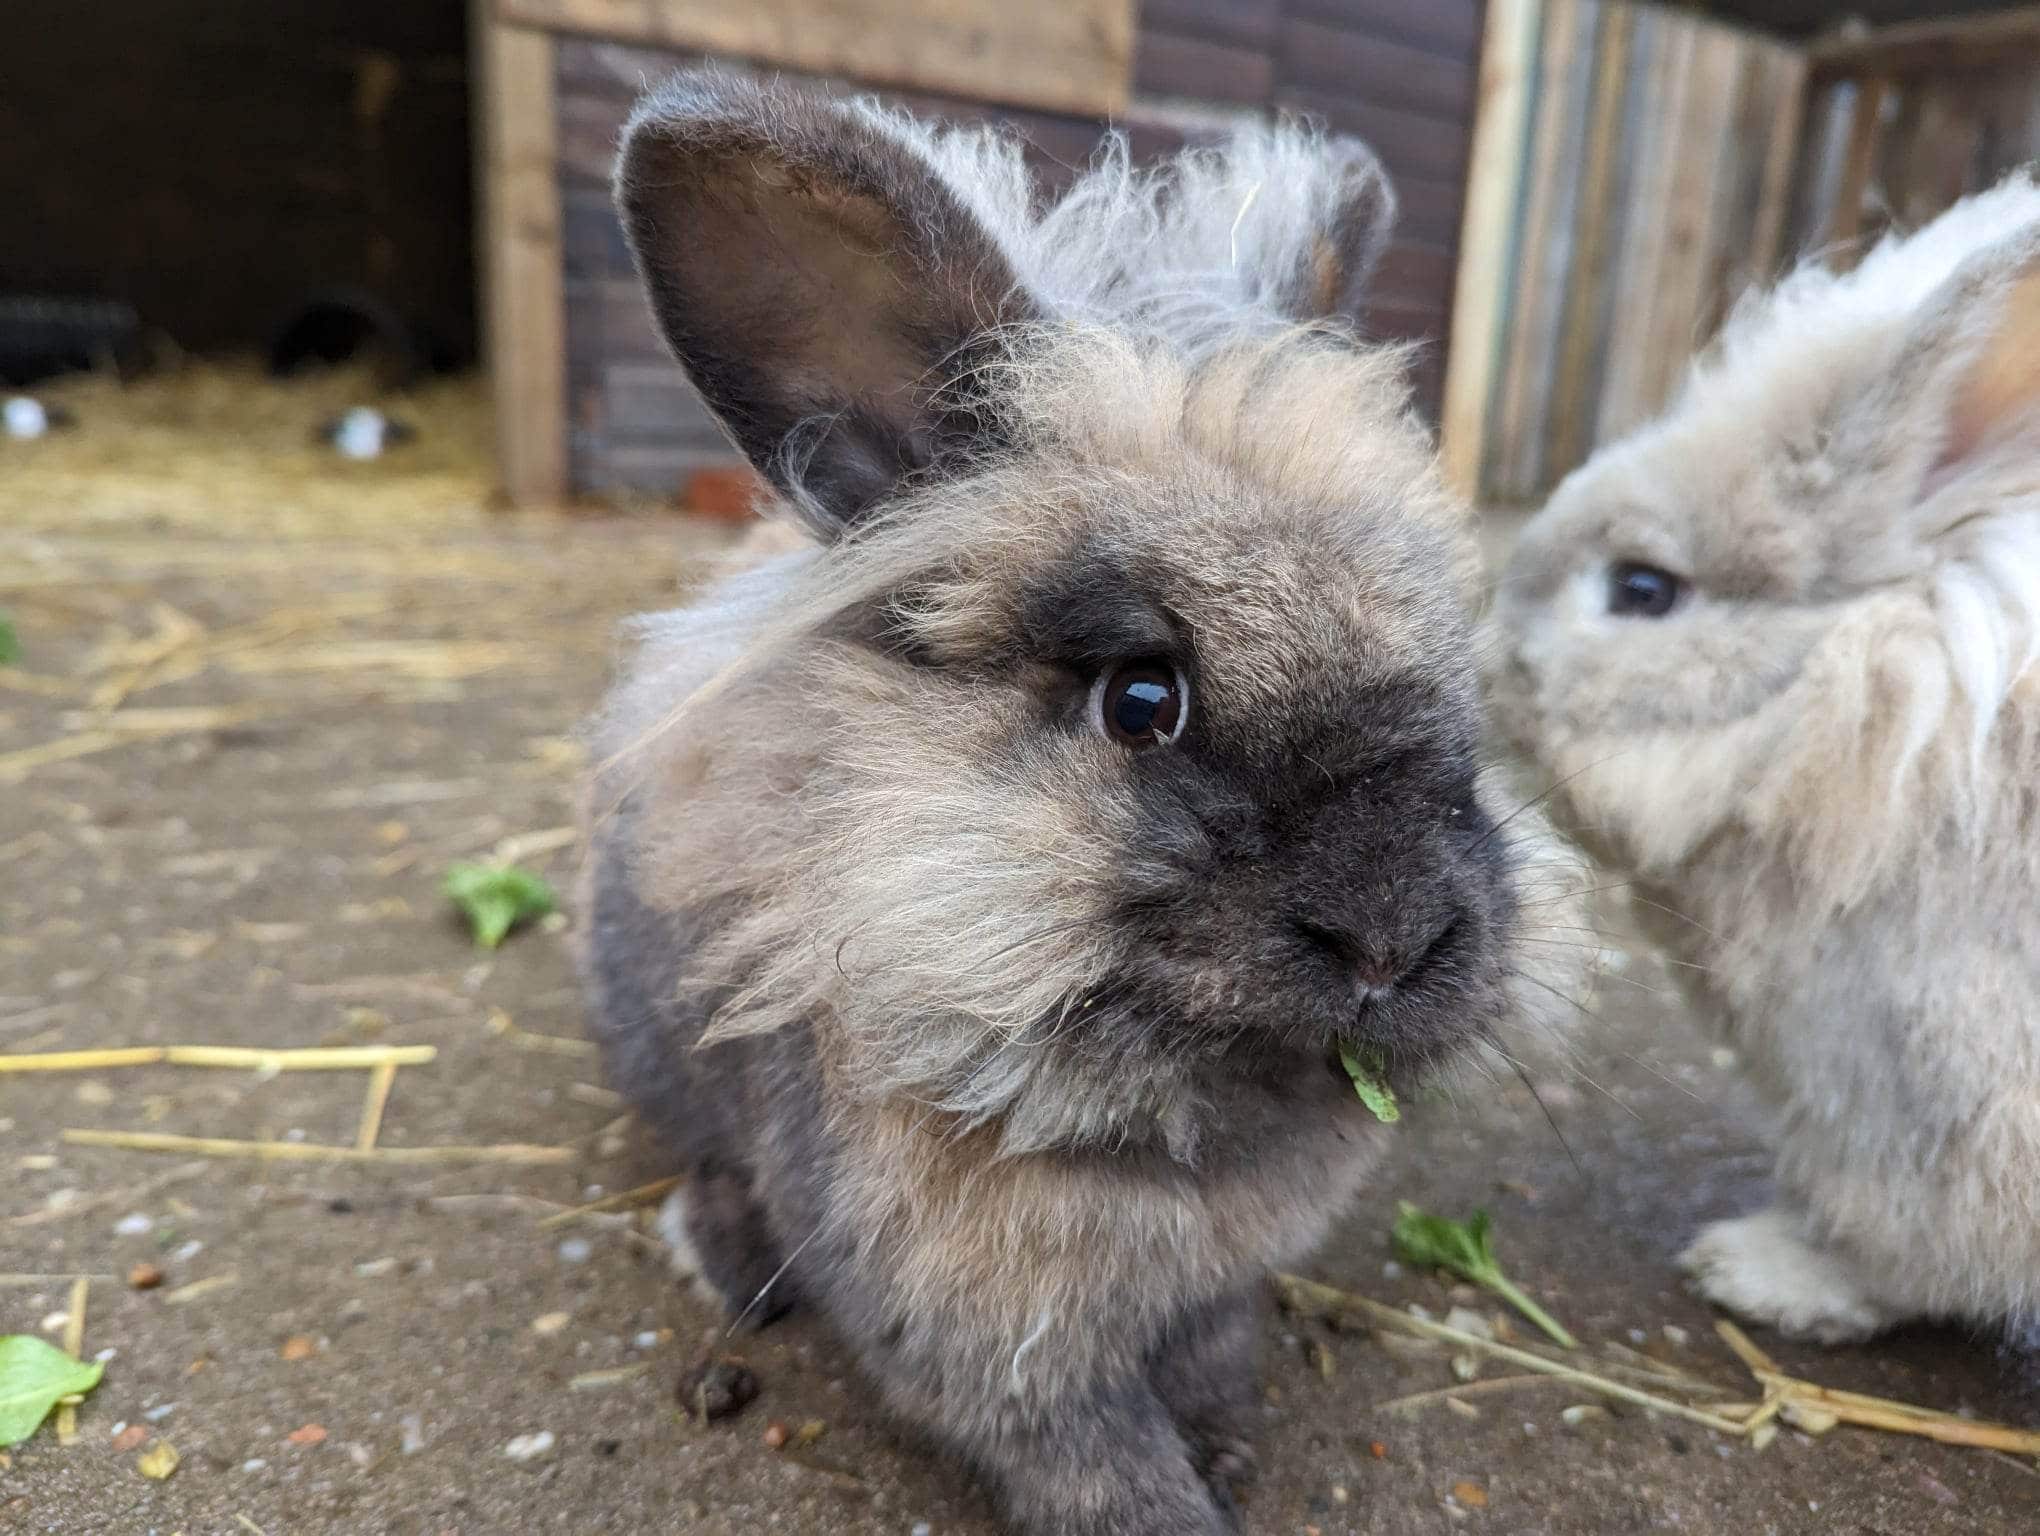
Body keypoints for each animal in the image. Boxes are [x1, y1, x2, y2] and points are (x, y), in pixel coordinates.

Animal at [581, 69, 1587, 1535]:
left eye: (1461, 667)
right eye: (1140, 698)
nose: (1395, 937)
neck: (1177, 1127)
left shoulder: (1217, 1286)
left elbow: (1213, 1353)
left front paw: (1225, 1447)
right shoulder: (976, 1332)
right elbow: (1088, 1449)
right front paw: (1177, 1507)